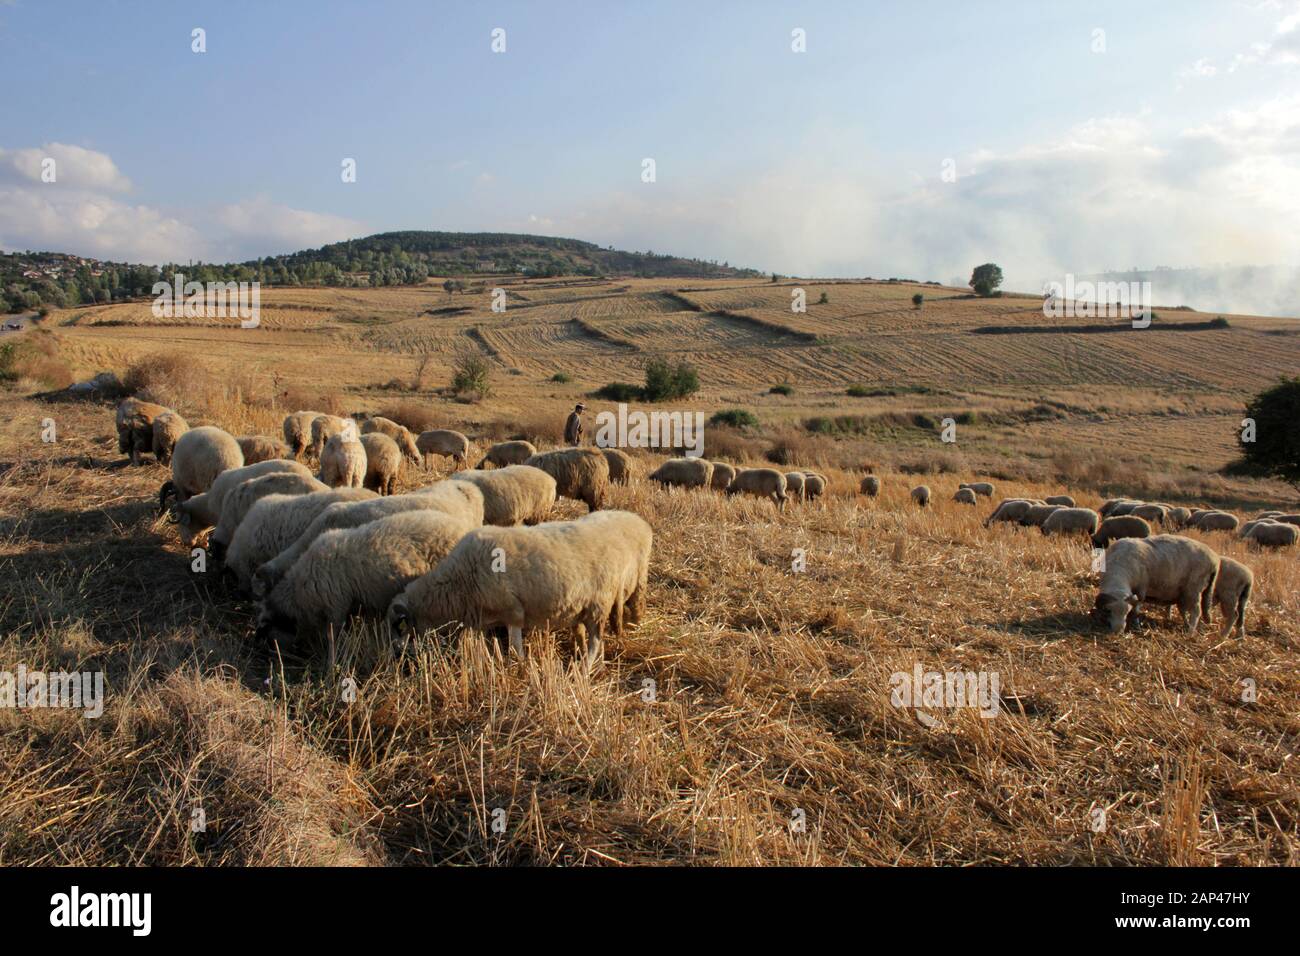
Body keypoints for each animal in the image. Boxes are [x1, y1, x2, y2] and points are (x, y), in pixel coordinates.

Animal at [387, 509, 652, 667]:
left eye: (399, 626)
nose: (396, 654)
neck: (460, 580)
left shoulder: (513, 609)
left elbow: (515, 645)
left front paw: (521, 665)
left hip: (598, 604)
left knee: (596, 640)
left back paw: (583, 669)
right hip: (585, 607)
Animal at [1091, 534, 1220, 635]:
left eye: (1126, 612)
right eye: (1109, 611)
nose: (1118, 631)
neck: (1119, 570)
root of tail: (1215, 560)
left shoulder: (1141, 588)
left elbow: (1136, 610)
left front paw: (1136, 626)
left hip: (1194, 589)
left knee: (1196, 611)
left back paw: (1190, 632)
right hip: (1183, 593)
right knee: (1183, 609)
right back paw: (1186, 625)